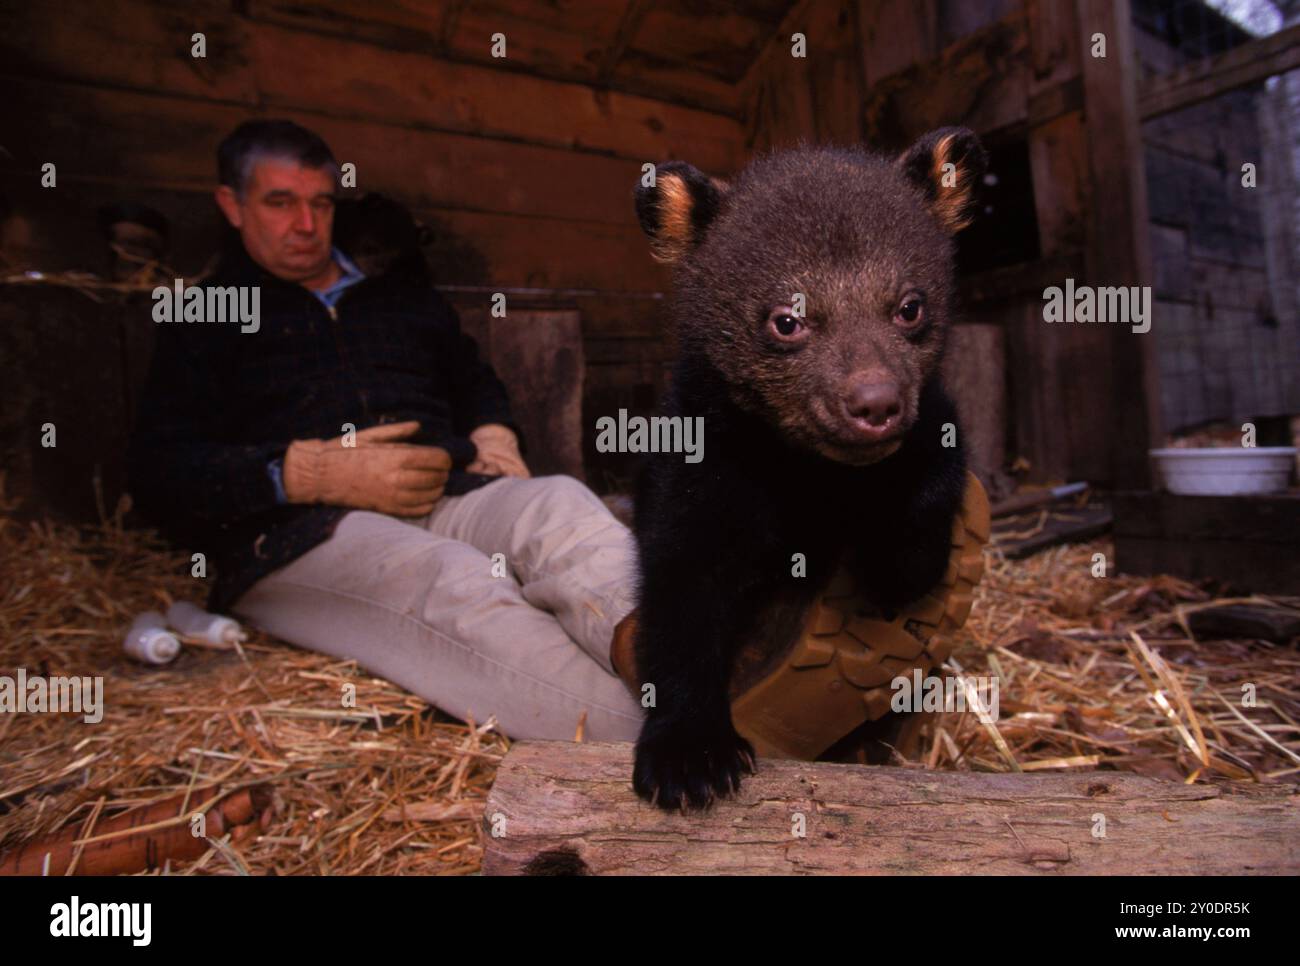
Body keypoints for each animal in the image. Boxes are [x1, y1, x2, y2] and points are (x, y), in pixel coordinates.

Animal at [628, 127, 987, 812]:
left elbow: (923, 525)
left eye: (909, 307)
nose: (874, 403)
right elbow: (683, 585)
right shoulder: (701, 460)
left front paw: (893, 549)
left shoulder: (934, 423)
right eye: (786, 319)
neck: (804, 474)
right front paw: (689, 756)